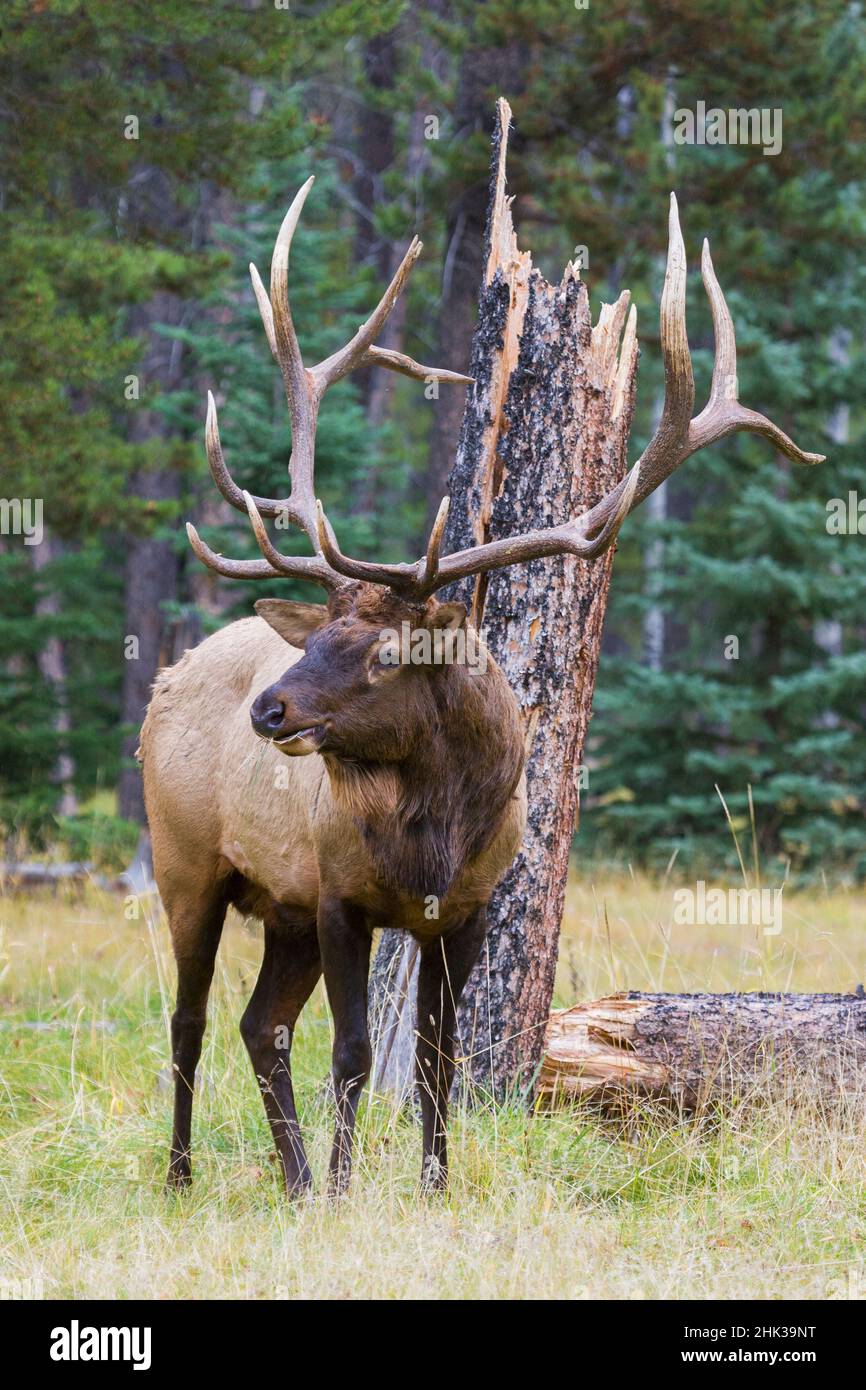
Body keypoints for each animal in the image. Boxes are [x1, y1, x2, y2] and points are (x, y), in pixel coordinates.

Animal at [139, 175, 823, 1198]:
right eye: (325, 634)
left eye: (385, 653)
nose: (271, 707)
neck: (434, 834)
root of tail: (167, 676)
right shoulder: (340, 895)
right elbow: (351, 1053)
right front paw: (347, 1191)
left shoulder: (460, 910)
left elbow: (437, 1057)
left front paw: (429, 1185)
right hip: (188, 861)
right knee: (190, 1020)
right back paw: (187, 1176)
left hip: (281, 907)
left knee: (260, 1025)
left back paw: (289, 1180)